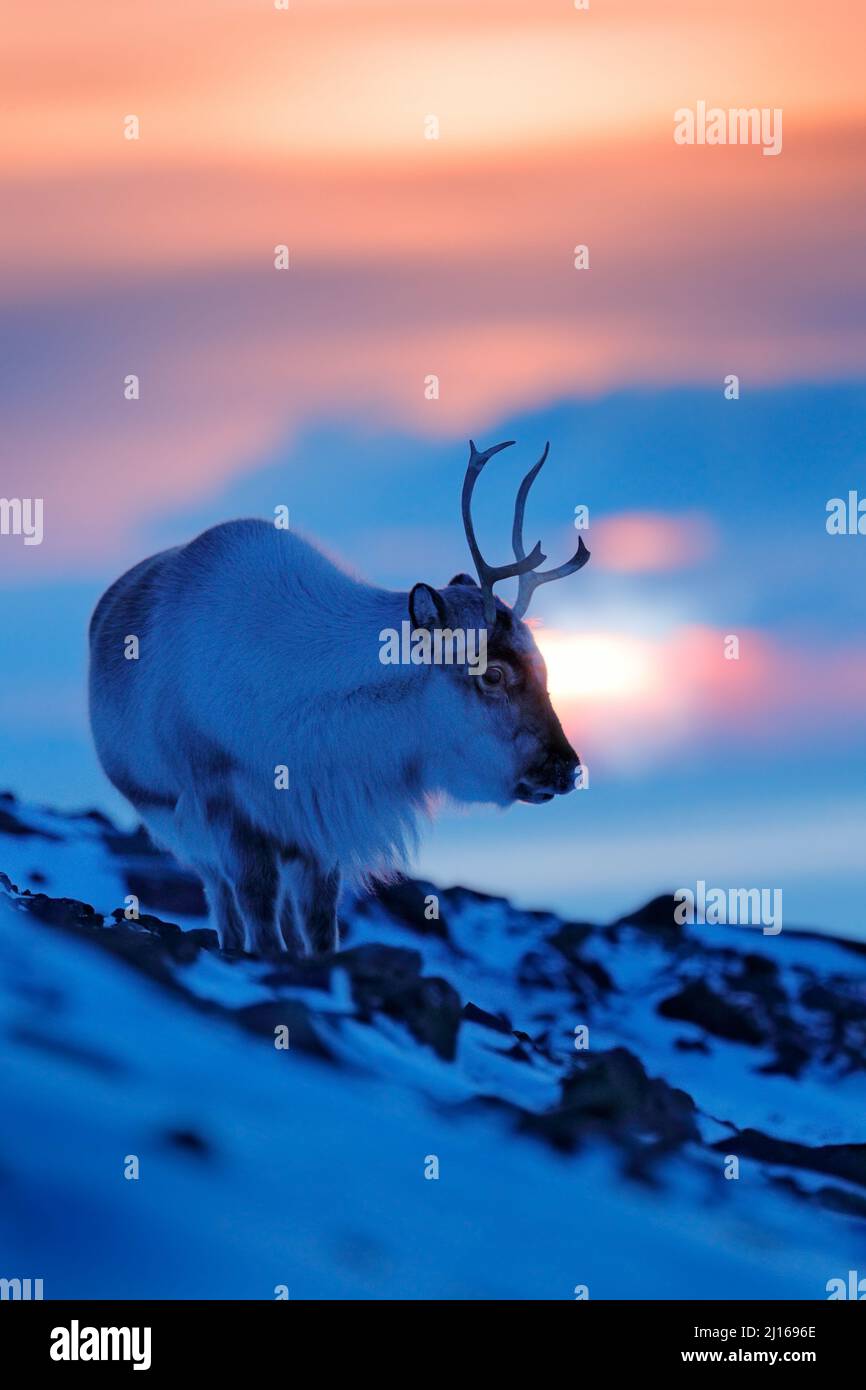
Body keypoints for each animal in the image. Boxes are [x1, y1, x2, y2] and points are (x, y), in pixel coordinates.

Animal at [88, 440, 590, 956]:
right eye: (492, 673)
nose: (567, 769)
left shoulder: (318, 825)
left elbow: (319, 923)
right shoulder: (226, 806)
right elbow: (256, 905)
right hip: (180, 827)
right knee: (221, 895)